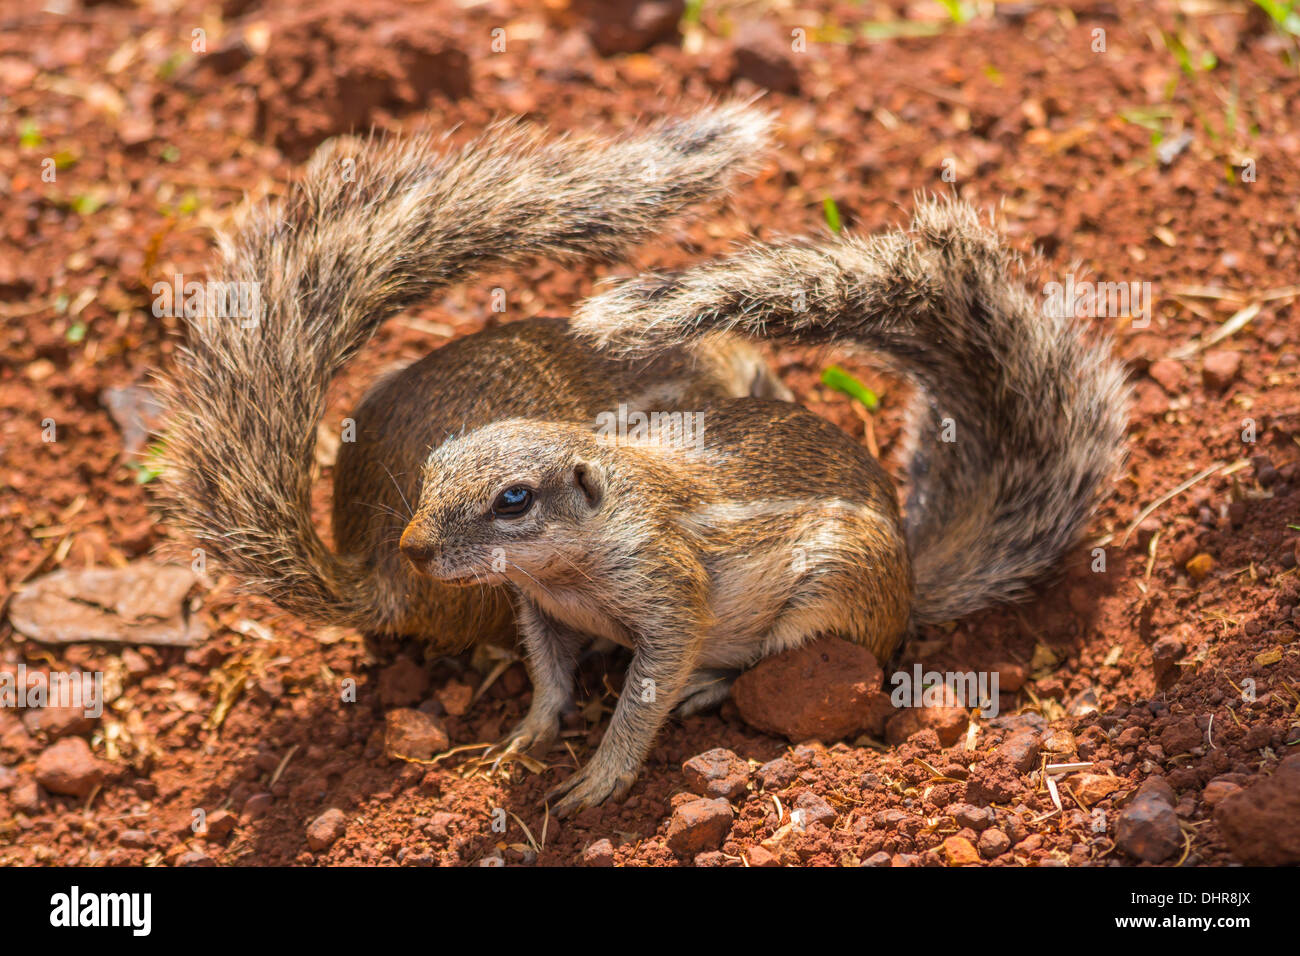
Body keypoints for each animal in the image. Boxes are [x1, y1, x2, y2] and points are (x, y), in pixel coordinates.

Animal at [397, 196, 1129, 816]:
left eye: (513, 500)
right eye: (431, 466)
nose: (412, 550)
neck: (567, 572)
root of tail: (910, 583)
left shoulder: (668, 596)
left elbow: (645, 695)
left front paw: (603, 775)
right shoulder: (540, 611)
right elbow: (549, 678)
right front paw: (527, 734)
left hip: (824, 602)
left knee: (763, 663)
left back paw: (708, 685)